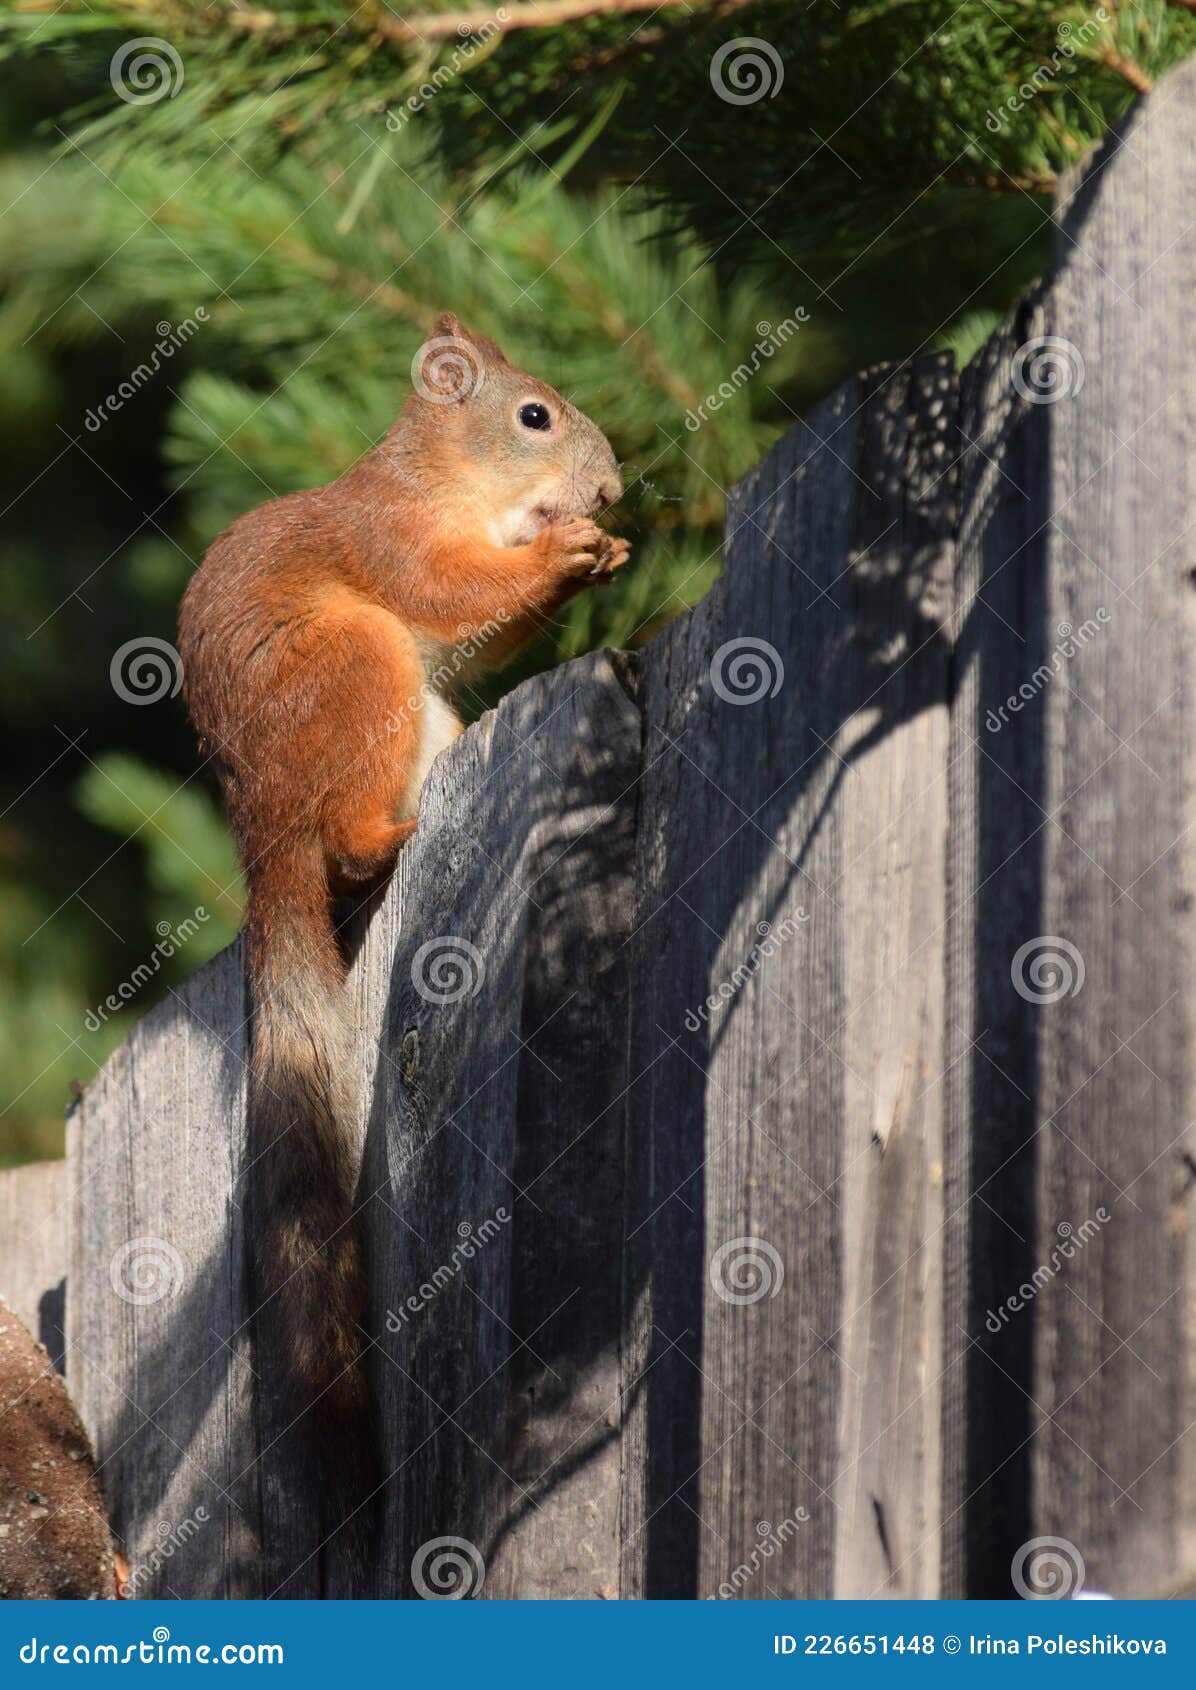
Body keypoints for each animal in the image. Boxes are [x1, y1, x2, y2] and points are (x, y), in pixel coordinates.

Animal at [178, 313, 628, 1549]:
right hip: (356, 669)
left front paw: (603, 547)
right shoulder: (388, 543)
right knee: (344, 838)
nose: (613, 485)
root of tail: (265, 835)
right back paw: (383, 836)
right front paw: (567, 550)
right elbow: (451, 588)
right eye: (535, 415)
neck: (441, 477)